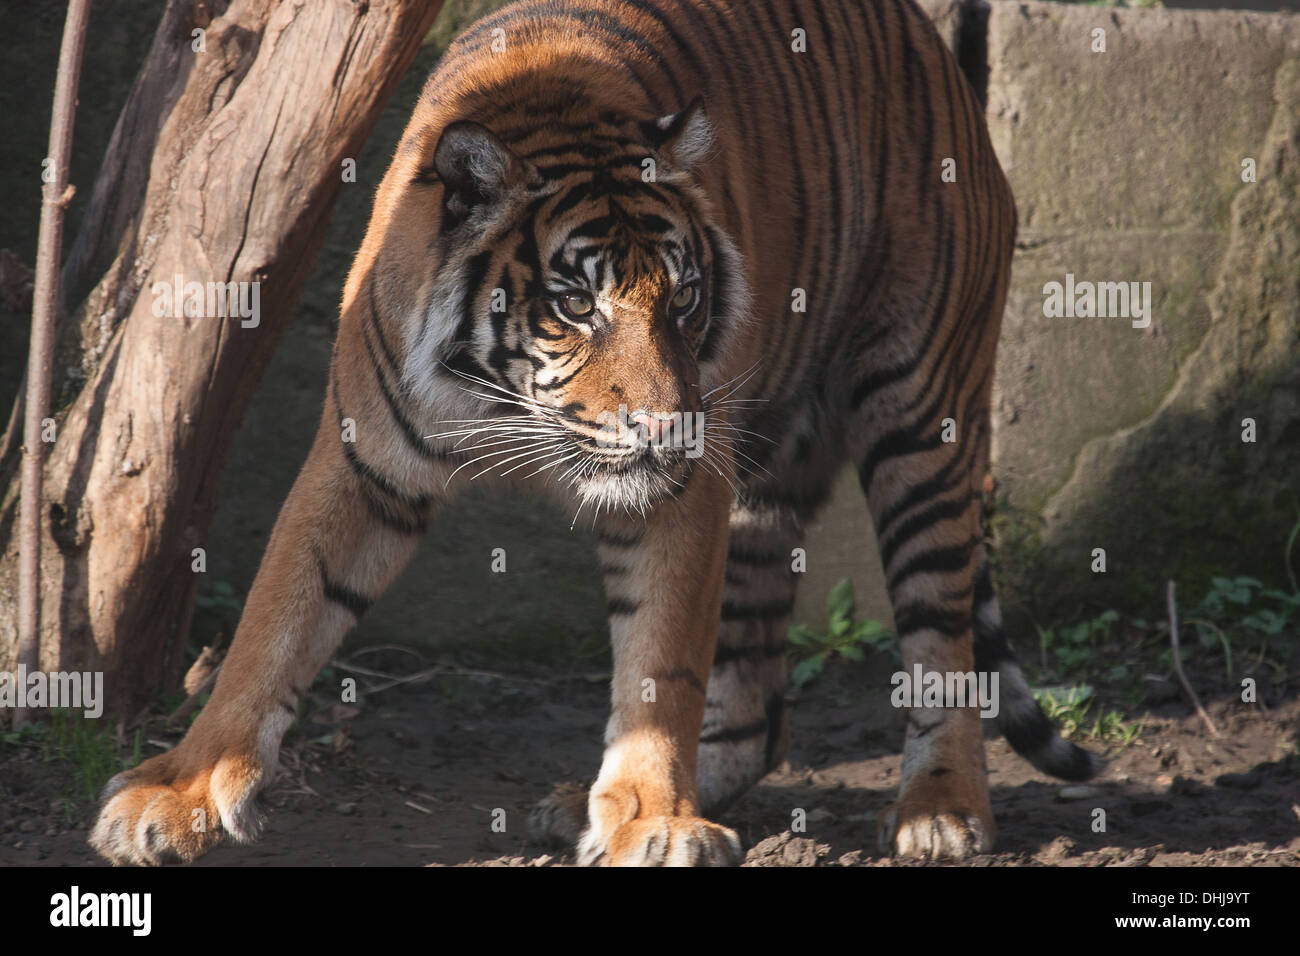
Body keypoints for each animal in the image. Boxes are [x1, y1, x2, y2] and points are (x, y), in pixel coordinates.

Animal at [89, 0, 1099, 867]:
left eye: (683, 296)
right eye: (577, 305)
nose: (669, 423)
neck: (504, 406)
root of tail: (936, 50)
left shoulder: (683, 491)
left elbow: (661, 663)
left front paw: (656, 820)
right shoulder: (360, 466)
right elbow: (273, 625)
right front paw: (174, 794)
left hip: (919, 409)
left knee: (942, 640)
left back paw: (941, 811)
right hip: (765, 476)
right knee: (757, 698)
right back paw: (629, 794)